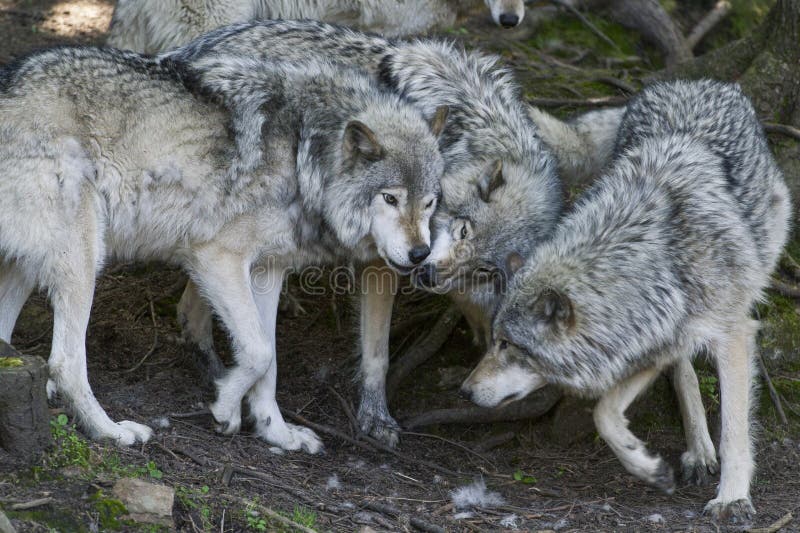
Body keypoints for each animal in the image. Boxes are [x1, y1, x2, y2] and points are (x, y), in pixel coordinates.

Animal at [0, 46, 447, 451]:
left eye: (429, 203)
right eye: (390, 198)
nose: (420, 254)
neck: (304, 152)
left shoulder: (268, 271)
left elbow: (269, 362)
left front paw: (276, 432)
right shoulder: (216, 257)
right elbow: (258, 352)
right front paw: (225, 407)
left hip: (26, 268)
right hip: (82, 261)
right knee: (66, 362)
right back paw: (111, 431)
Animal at [162, 19, 562, 446]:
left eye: (485, 269)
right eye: (463, 230)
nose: (425, 271)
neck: (465, 131)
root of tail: (185, 52)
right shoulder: (382, 263)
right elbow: (378, 353)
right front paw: (375, 415)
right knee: (195, 307)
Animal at [461, 80, 791, 522]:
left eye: (508, 345)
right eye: (495, 341)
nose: (464, 391)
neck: (661, 259)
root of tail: (685, 83)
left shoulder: (732, 334)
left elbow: (735, 431)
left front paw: (732, 498)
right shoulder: (644, 339)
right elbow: (604, 414)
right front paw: (647, 467)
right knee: (682, 371)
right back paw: (697, 450)